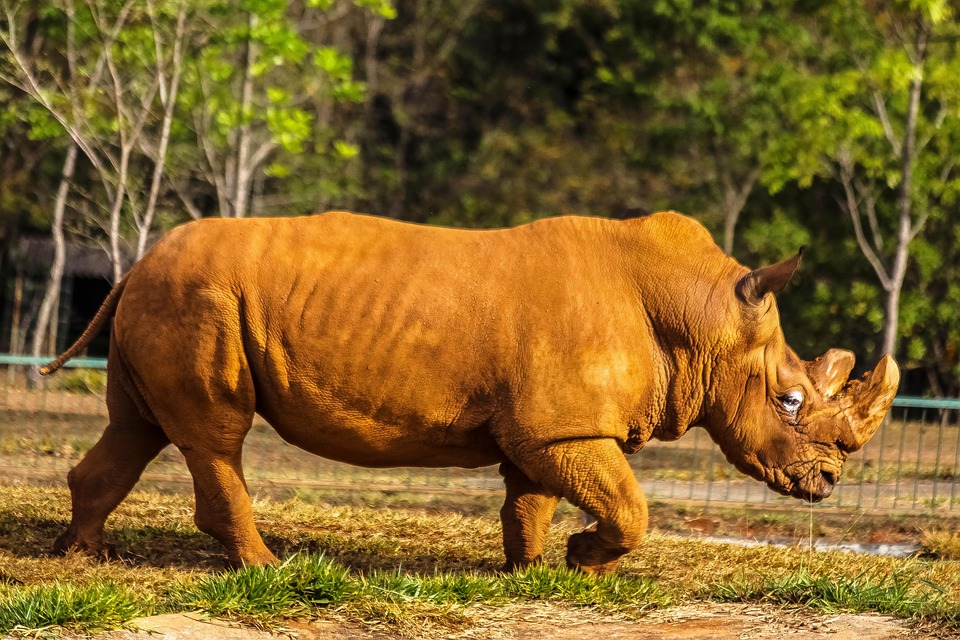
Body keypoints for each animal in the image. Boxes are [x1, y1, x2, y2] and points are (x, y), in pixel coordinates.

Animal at [41, 210, 899, 574]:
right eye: (789, 402)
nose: (829, 480)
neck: (703, 314)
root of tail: (135, 265)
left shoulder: (549, 427)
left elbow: (531, 501)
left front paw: (537, 571)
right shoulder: (561, 427)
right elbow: (629, 506)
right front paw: (585, 561)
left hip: (173, 297)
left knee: (138, 428)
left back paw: (85, 555)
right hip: (199, 299)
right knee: (216, 437)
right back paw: (267, 569)